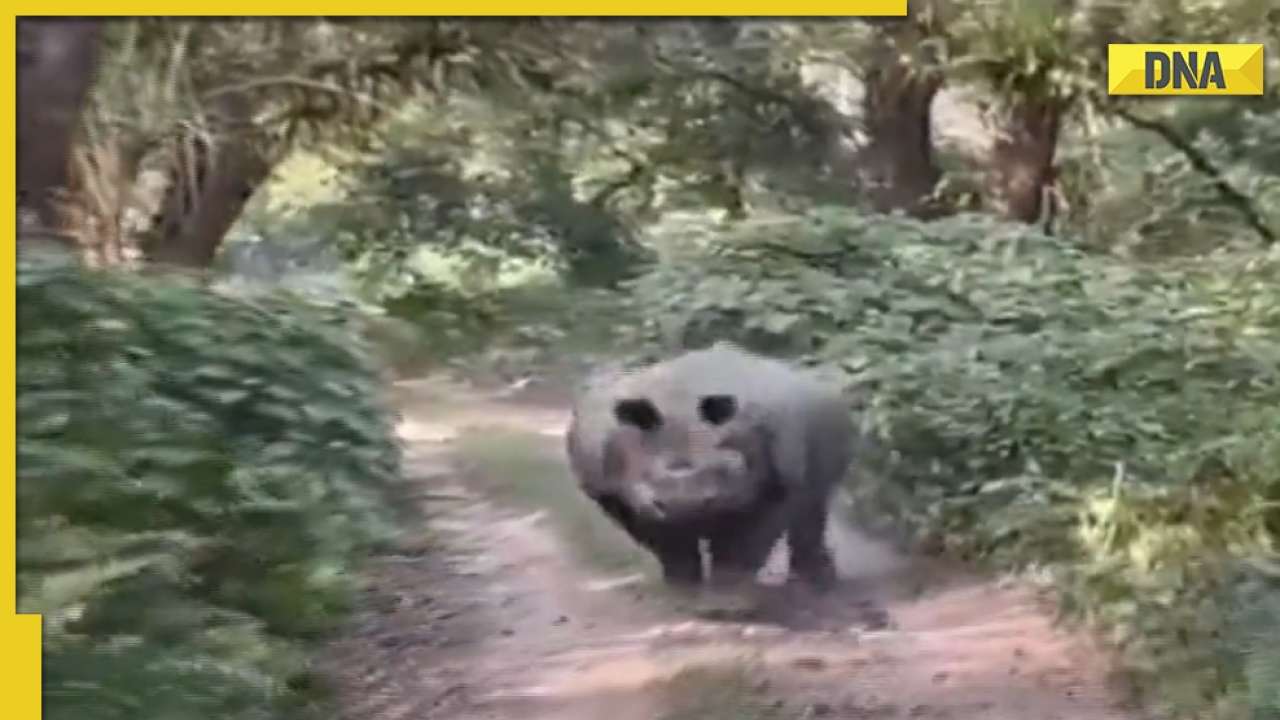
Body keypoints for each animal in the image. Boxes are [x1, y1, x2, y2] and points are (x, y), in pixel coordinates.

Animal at [564, 342, 854, 590]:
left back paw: (818, 582)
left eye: (728, 469)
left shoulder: (779, 477)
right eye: (644, 473)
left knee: (814, 502)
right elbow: (666, 542)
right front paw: (682, 589)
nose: (684, 504)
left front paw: (728, 596)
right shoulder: (613, 490)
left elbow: (747, 542)